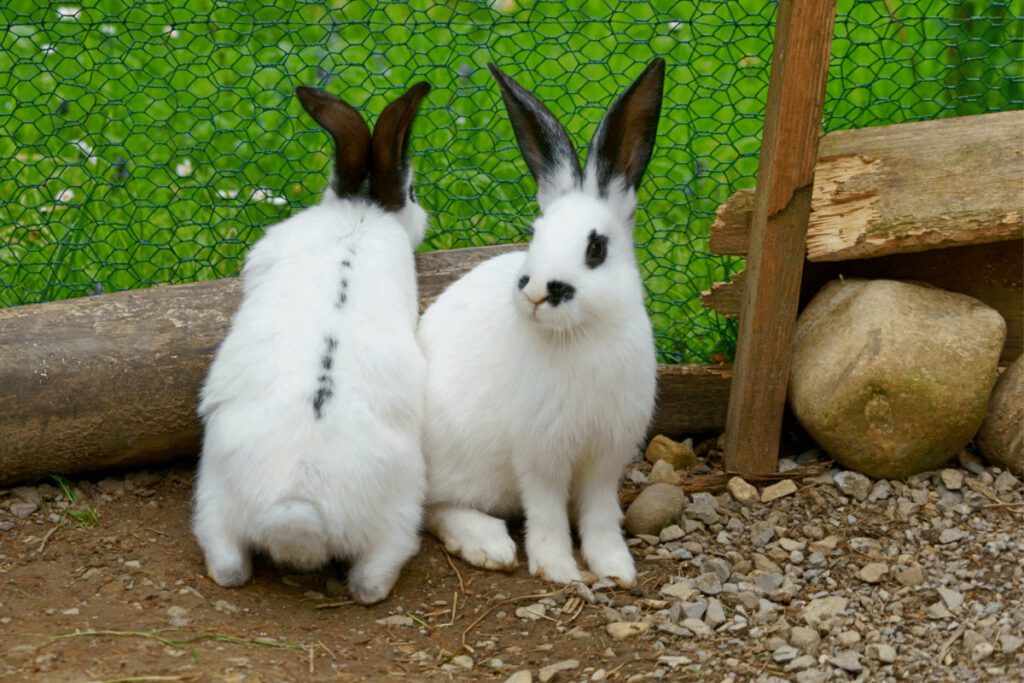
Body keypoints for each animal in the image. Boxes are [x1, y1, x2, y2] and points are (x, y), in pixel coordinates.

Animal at [418, 58, 665, 586]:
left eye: (597, 248)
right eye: (536, 233)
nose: (535, 293)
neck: (582, 335)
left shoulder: (605, 455)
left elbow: (598, 513)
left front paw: (615, 567)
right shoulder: (540, 453)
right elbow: (546, 511)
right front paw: (558, 568)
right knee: (434, 509)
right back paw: (487, 544)